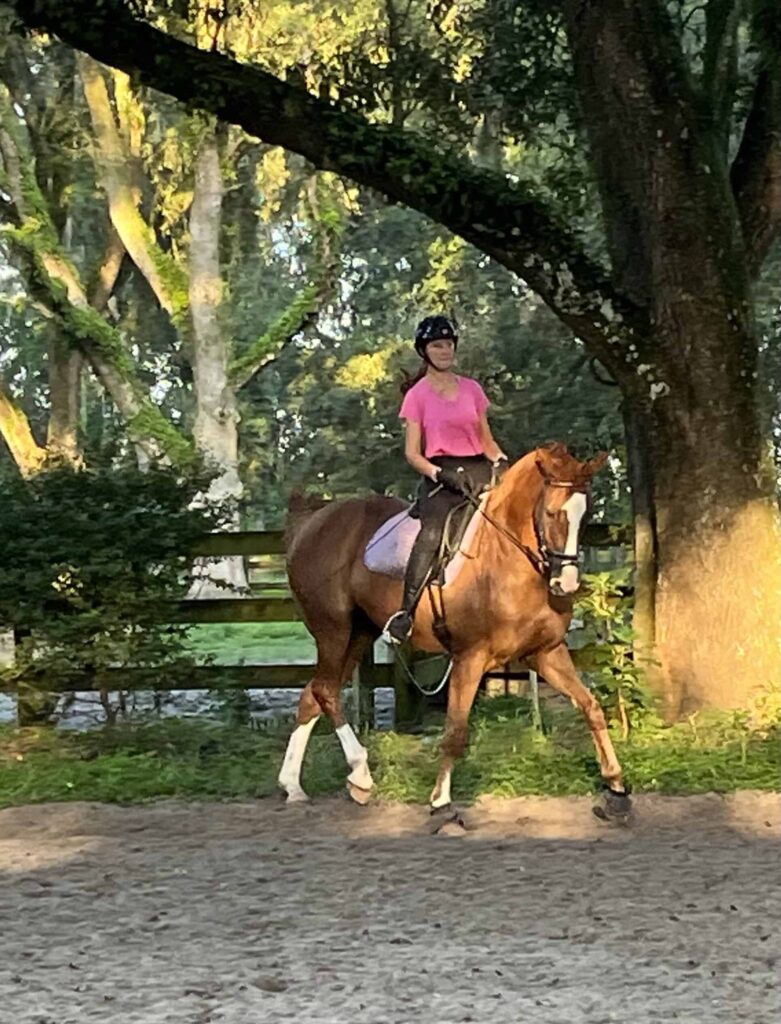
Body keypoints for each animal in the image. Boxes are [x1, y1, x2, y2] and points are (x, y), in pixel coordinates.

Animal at [278, 443, 632, 822]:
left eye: (587, 513)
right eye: (551, 513)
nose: (565, 584)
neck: (505, 559)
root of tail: (312, 521)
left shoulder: (546, 653)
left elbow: (591, 707)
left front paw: (616, 790)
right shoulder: (470, 657)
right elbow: (456, 731)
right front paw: (441, 803)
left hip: (359, 633)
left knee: (313, 694)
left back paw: (296, 786)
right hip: (333, 629)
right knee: (326, 691)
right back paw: (360, 774)